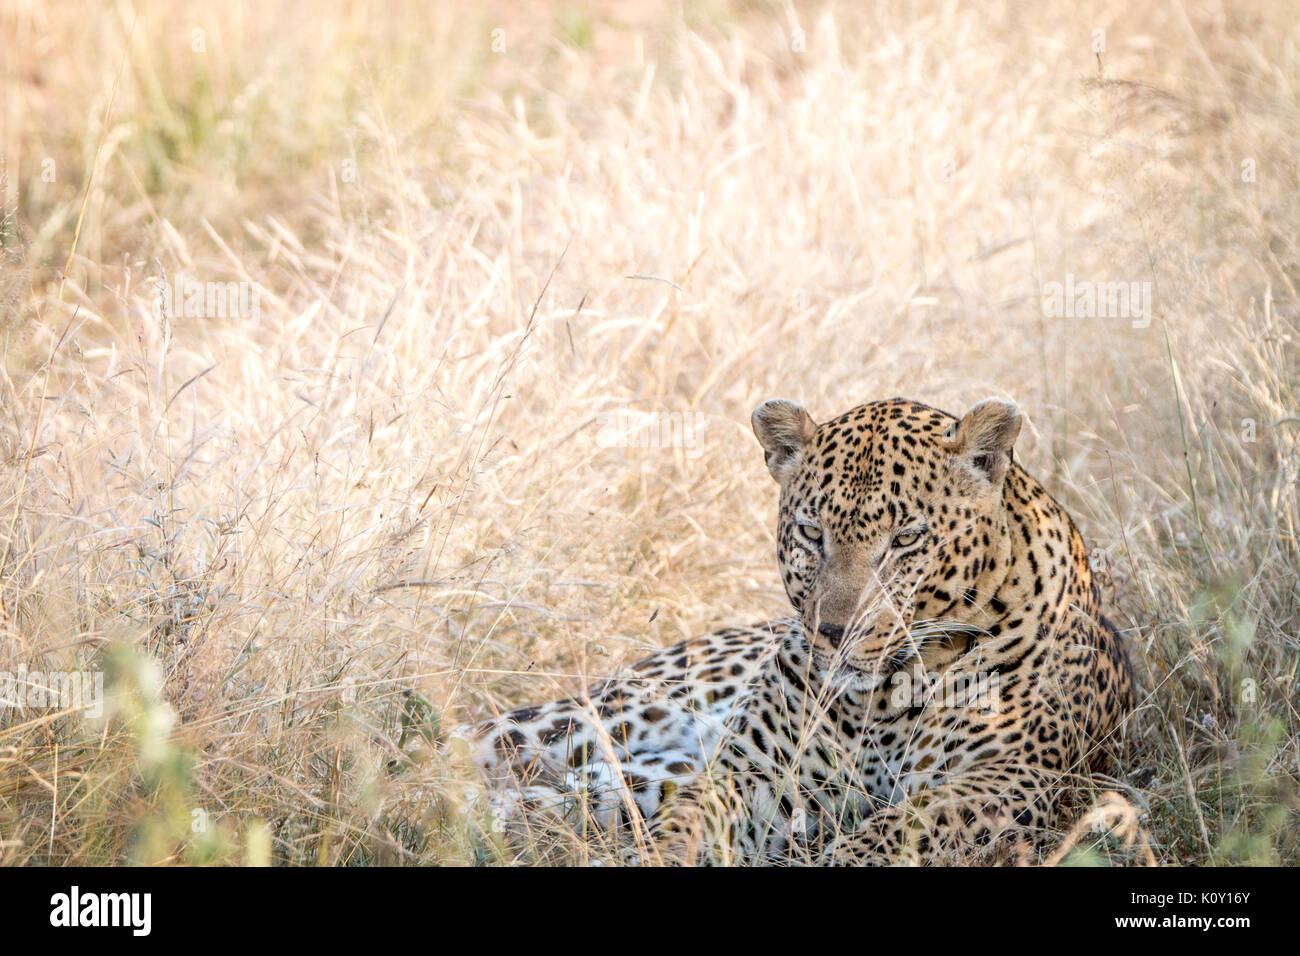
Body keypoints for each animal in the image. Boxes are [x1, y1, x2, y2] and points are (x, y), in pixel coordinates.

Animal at [448, 396, 1135, 865]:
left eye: (905, 539)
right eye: (811, 532)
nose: (834, 632)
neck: (884, 700)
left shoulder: (1006, 781)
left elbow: (891, 834)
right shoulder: (754, 773)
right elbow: (689, 825)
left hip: (608, 784)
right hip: (595, 721)